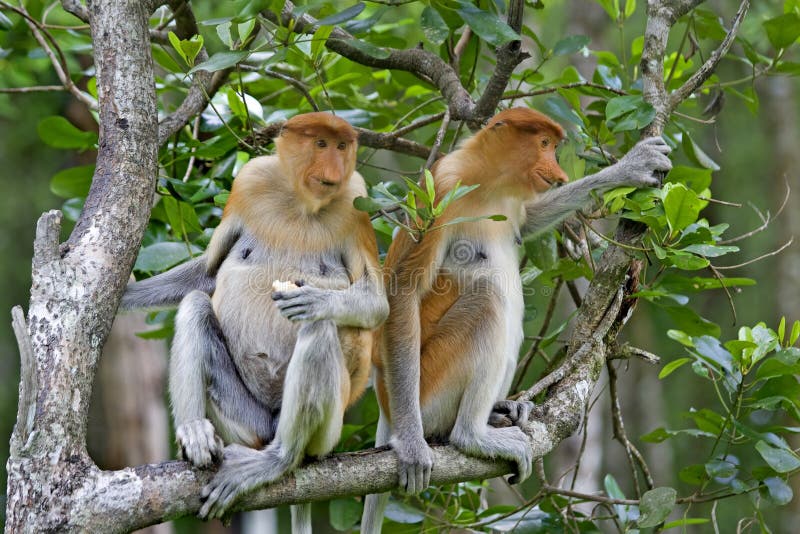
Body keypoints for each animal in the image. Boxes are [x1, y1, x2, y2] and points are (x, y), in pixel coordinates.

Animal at [121, 112, 389, 532]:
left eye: (343, 146)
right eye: (321, 144)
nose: (334, 169)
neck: (301, 202)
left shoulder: (355, 202)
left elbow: (376, 304)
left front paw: (313, 298)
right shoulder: (248, 182)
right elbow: (207, 275)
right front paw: (121, 293)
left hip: (326, 432)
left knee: (318, 328)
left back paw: (277, 459)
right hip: (244, 421)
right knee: (195, 306)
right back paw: (195, 432)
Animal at [360, 107, 672, 533]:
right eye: (544, 144)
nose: (557, 171)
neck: (488, 182)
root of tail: (386, 408)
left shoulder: (513, 202)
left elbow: (529, 221)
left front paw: (632, 167)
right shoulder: (440, 190)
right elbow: (402, 293)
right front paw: (412, 448)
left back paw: (501, 410)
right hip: (429, 386)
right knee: (489, 301)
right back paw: (469, 434)